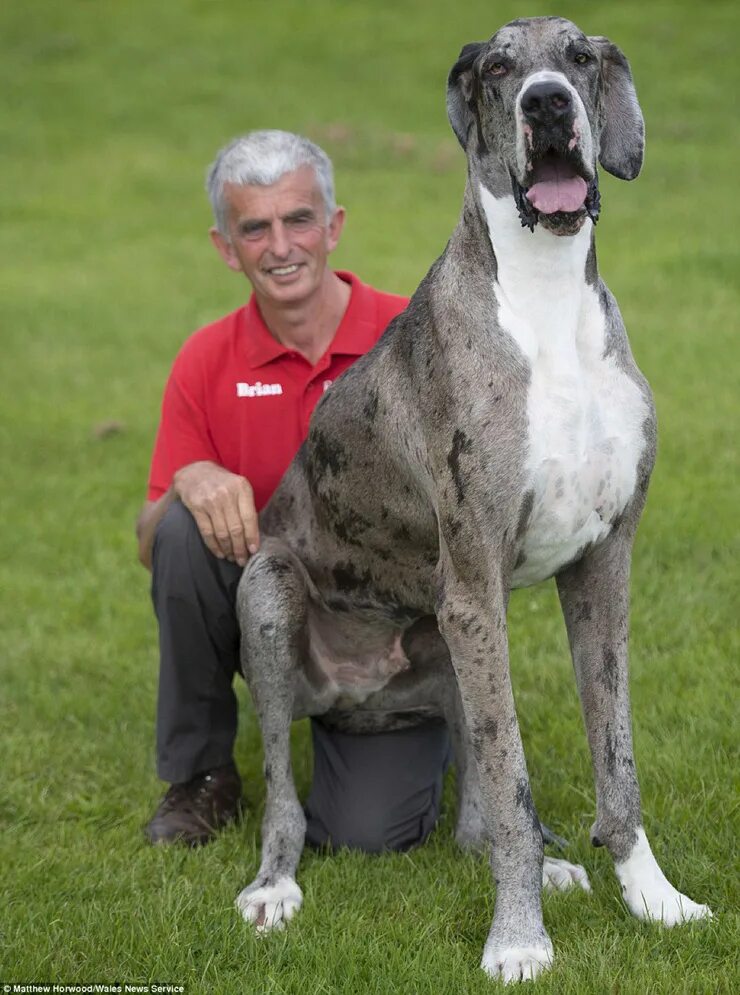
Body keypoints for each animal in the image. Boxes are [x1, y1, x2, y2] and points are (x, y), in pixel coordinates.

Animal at [233, 13, 712, 980]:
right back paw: (275, 885)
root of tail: (354, 694)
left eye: (579, 57)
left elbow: (616, 762)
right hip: (266, 596)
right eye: (497, 67)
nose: (547, 104)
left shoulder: (604, 566)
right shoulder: (474, 582)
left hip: (451, 644)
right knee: (282, 789)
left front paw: (653, 897)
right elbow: (512, 772)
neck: (545, 298)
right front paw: (519, 937)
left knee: (474, 812)